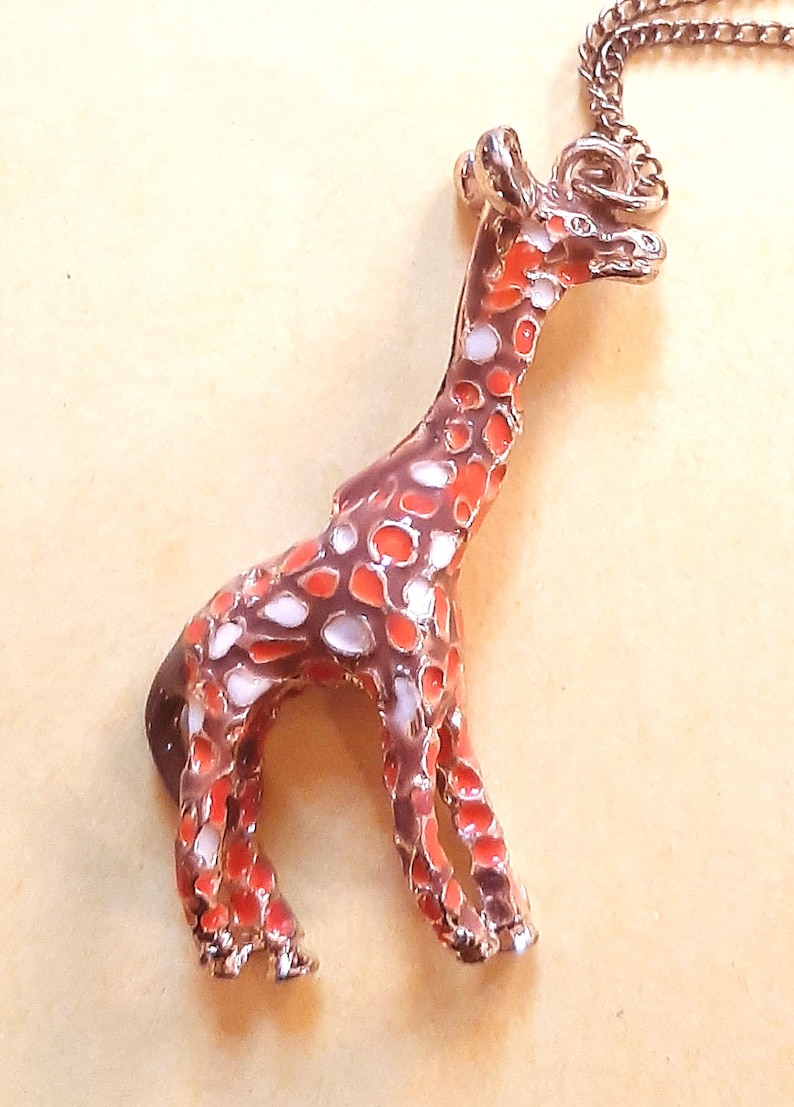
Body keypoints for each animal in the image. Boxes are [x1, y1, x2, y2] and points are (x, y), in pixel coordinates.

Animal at [146, 127, 666, 980]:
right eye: (573, 221)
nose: (649, 246)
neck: (444, 540)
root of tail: (182, 655)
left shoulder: (446, 691)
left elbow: (478, 814)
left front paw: (511, 928)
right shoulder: (398, 690)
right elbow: (414, 823)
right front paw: (465, 937)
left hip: (252, 734)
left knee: (241, 833)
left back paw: (283, 952)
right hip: (218, 722)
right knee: (198, 833)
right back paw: (224, 949)